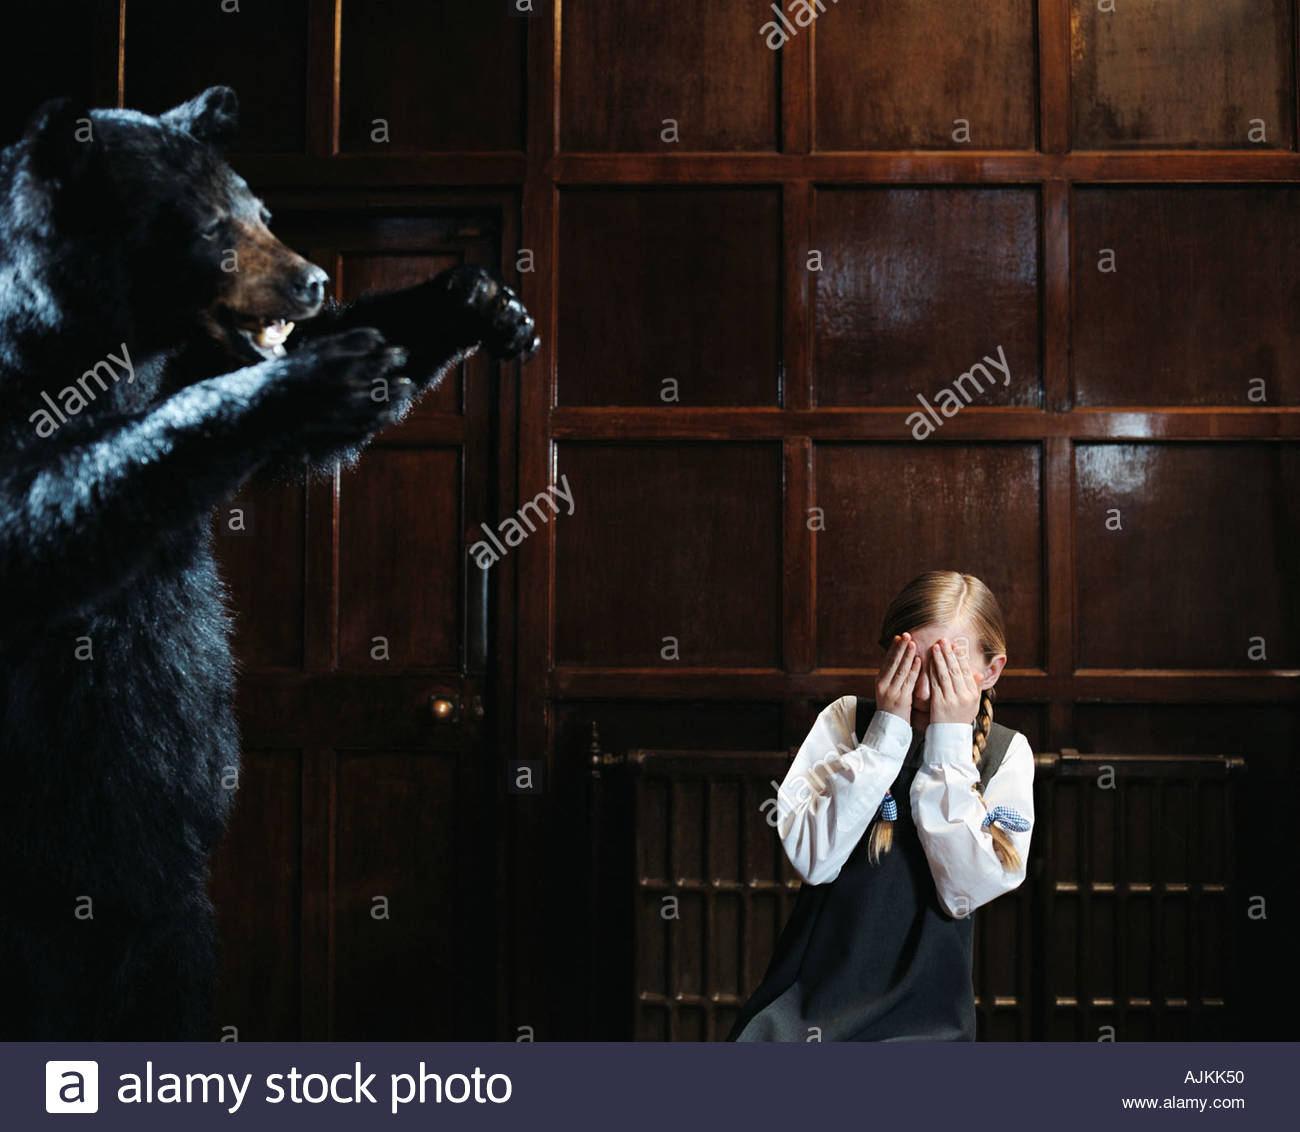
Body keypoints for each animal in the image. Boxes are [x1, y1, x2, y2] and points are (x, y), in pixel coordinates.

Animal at [0, 86, 537, 1040]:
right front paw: (298, 381)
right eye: (214, 226)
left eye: (262, 210)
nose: (315, 281)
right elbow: (40, 520)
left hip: (167, 911)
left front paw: (473, 300)